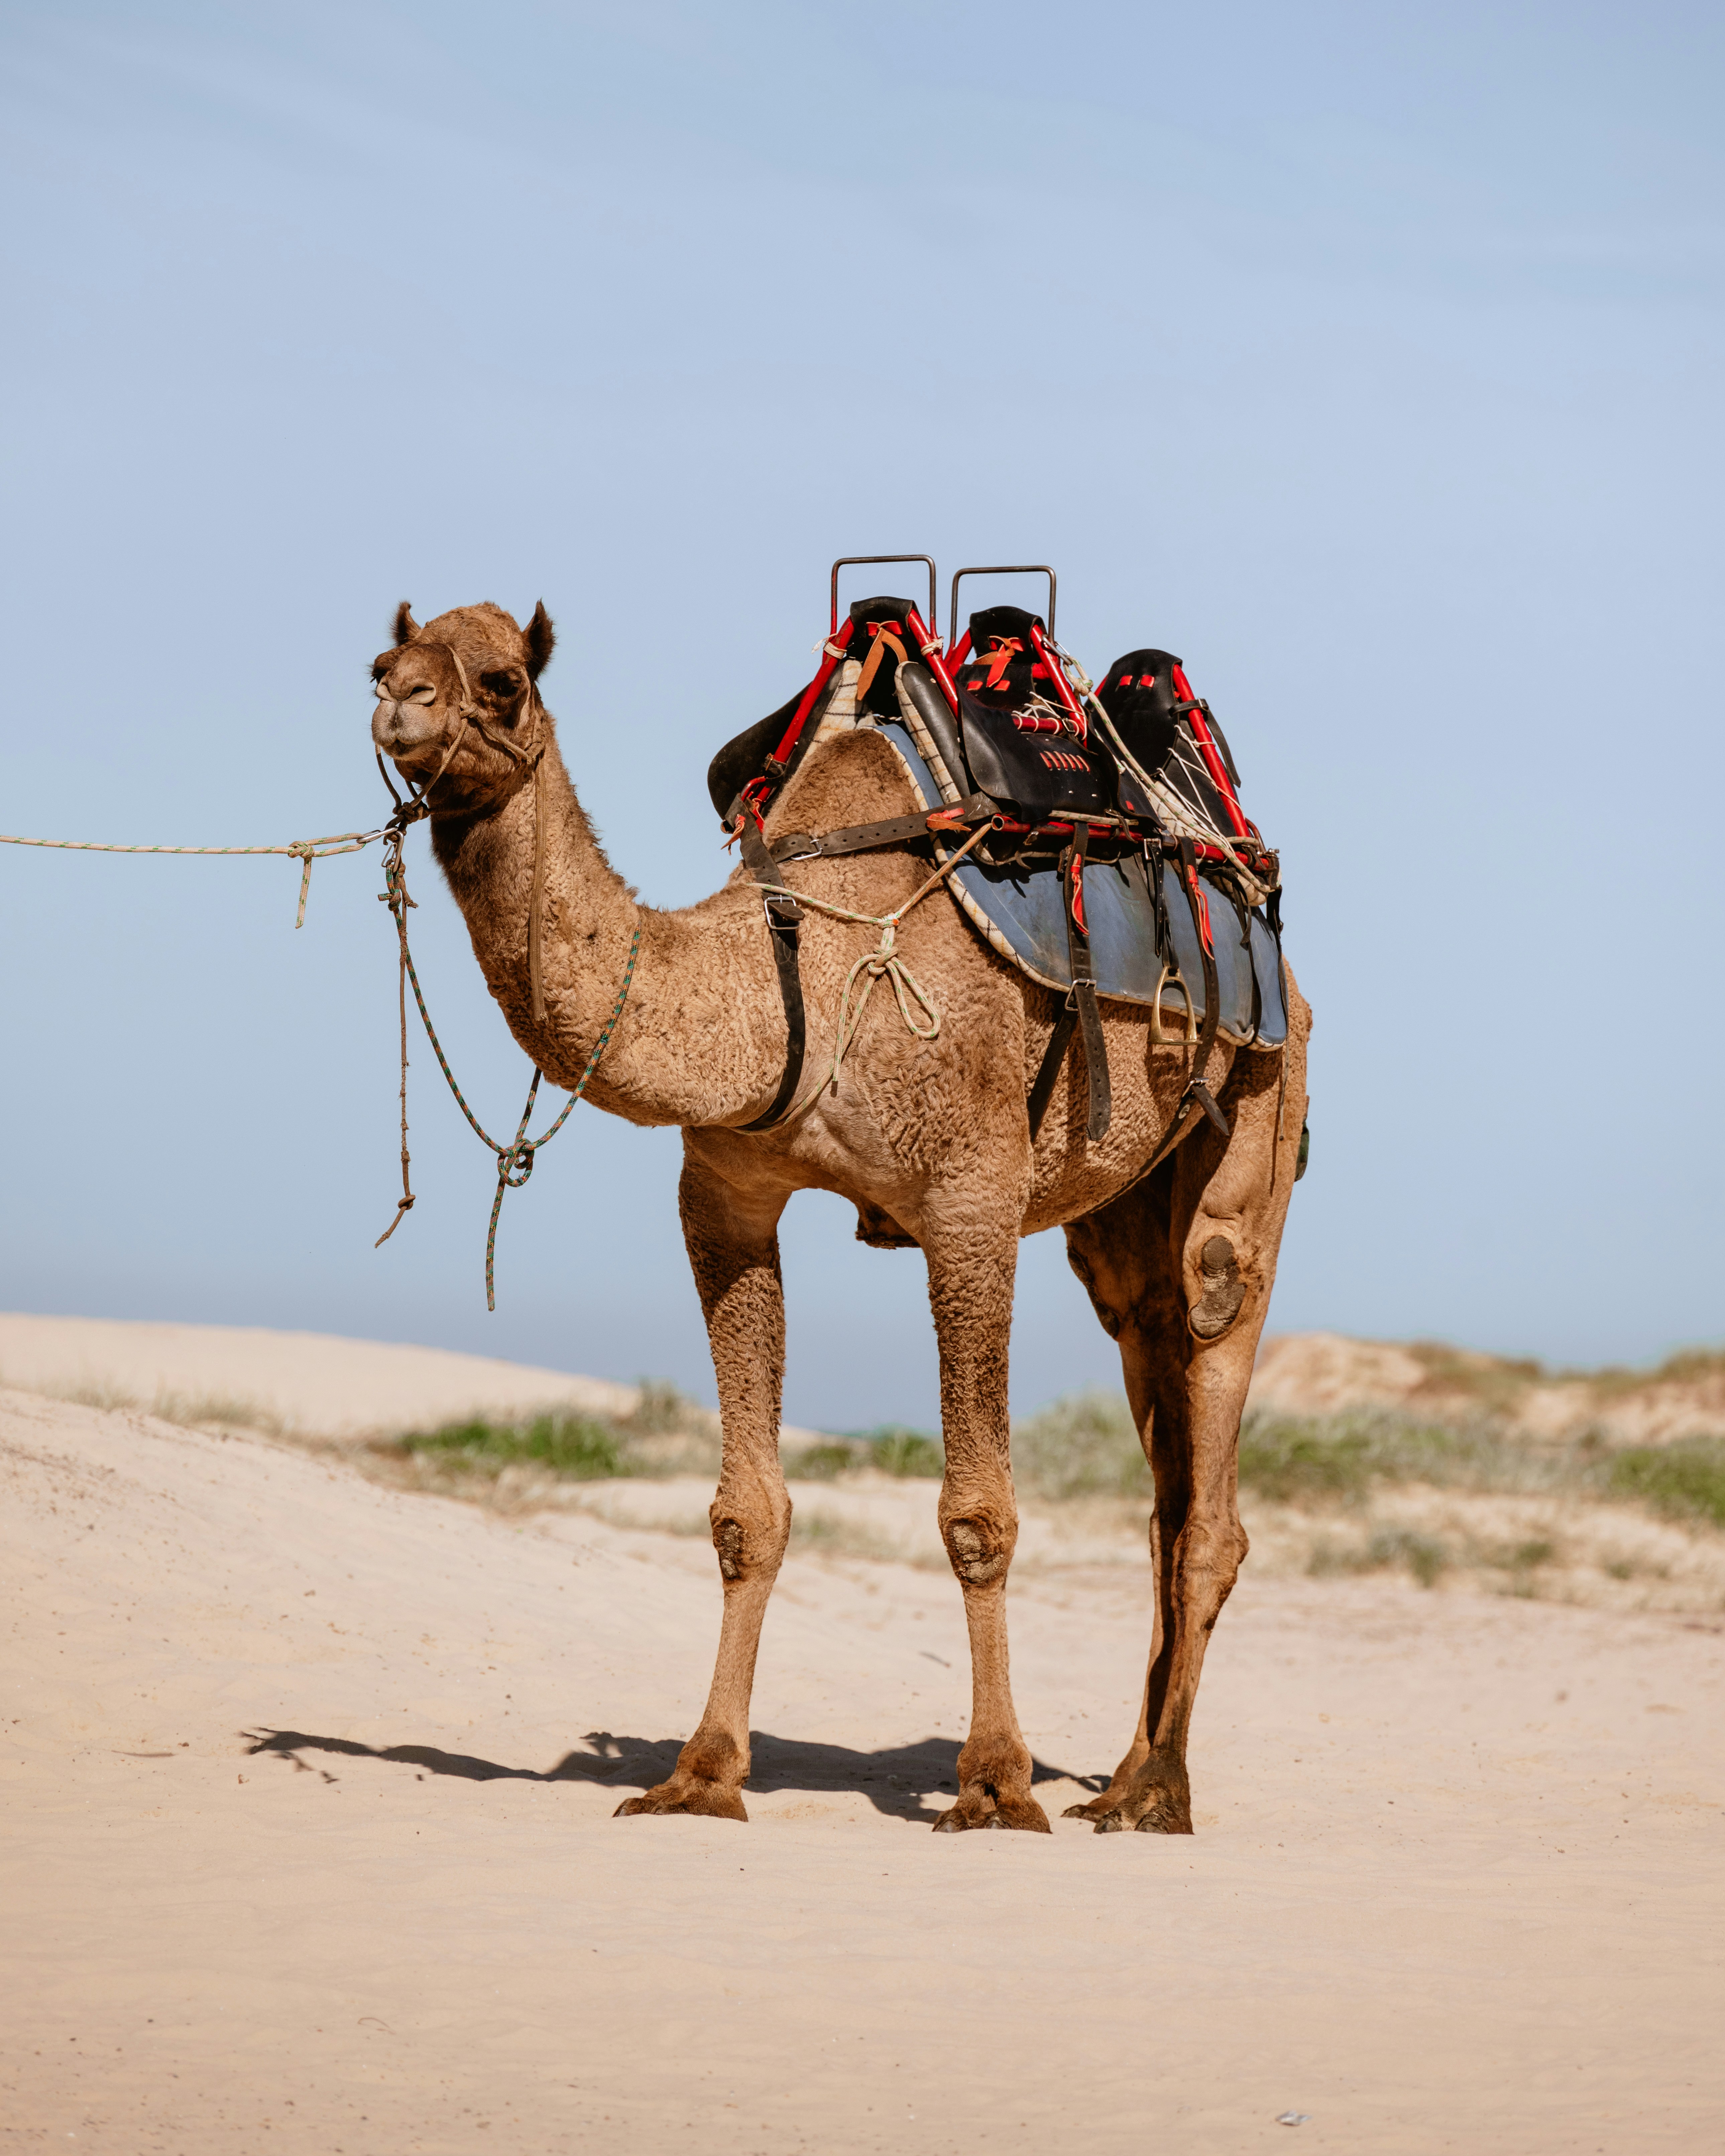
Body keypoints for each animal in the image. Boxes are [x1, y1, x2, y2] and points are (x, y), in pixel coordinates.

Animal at [369, 598, 1311, 1834]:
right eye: (382, 662)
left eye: (502, 682)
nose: (402, 705)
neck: (795, 971)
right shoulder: (724, 1196)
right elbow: (746, 1513)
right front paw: (702, 1772)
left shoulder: (970, 1194)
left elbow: (979, 1515)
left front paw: (995, 1782)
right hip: (1117, 1221)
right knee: (1159, 1415)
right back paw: (1125, 1773)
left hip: (1261, 1099)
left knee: (1213, 1340)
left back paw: (1154, 1792)